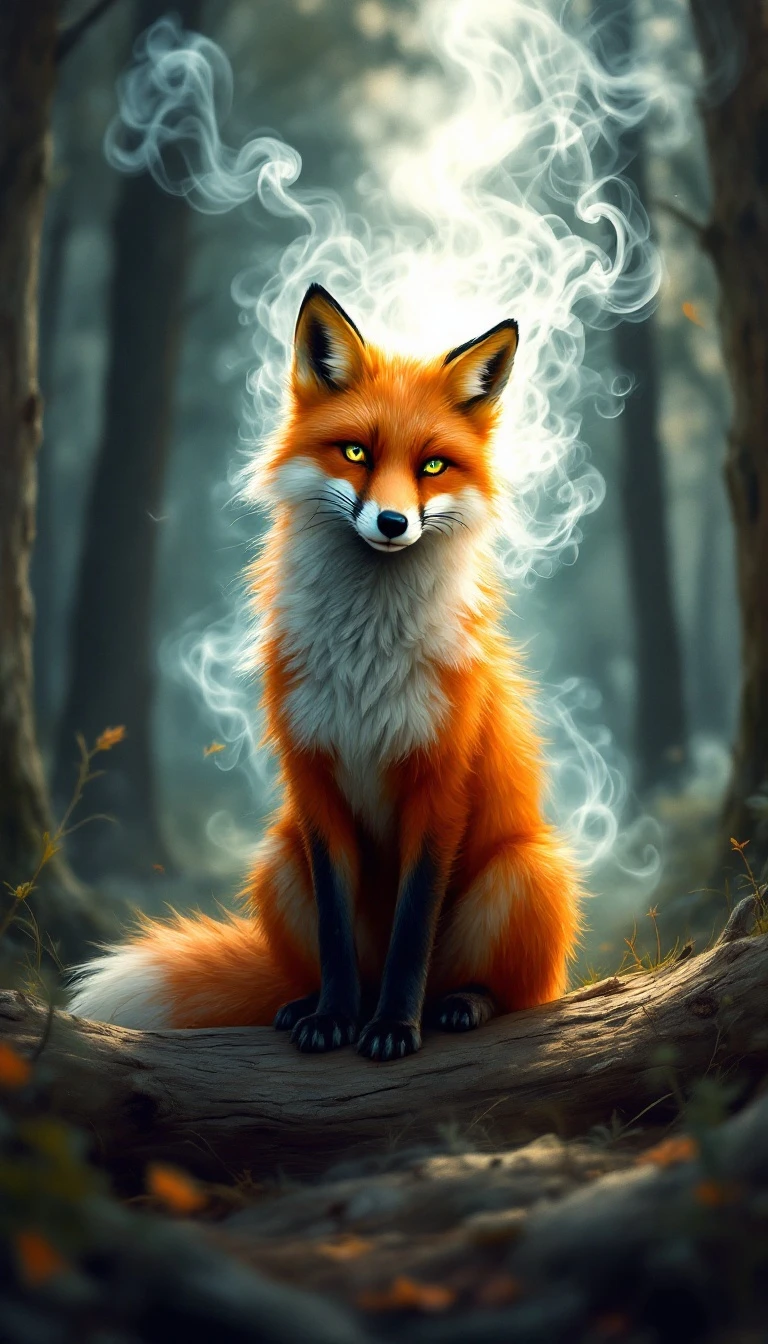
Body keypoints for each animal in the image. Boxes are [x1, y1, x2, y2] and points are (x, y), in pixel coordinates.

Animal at [68, 283, 582, 1061]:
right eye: (356, 452)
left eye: (433, 466)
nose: (394, 523)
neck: (366, 662)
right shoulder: (314, 785)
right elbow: (337, 933)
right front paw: (335, 1018)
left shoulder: (438, 789)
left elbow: (411, 937)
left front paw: (393, 1027)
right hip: (276, 861)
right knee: (321, 967)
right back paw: (308, 1004)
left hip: (526, 870)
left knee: (508, 991)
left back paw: (458, 1003)